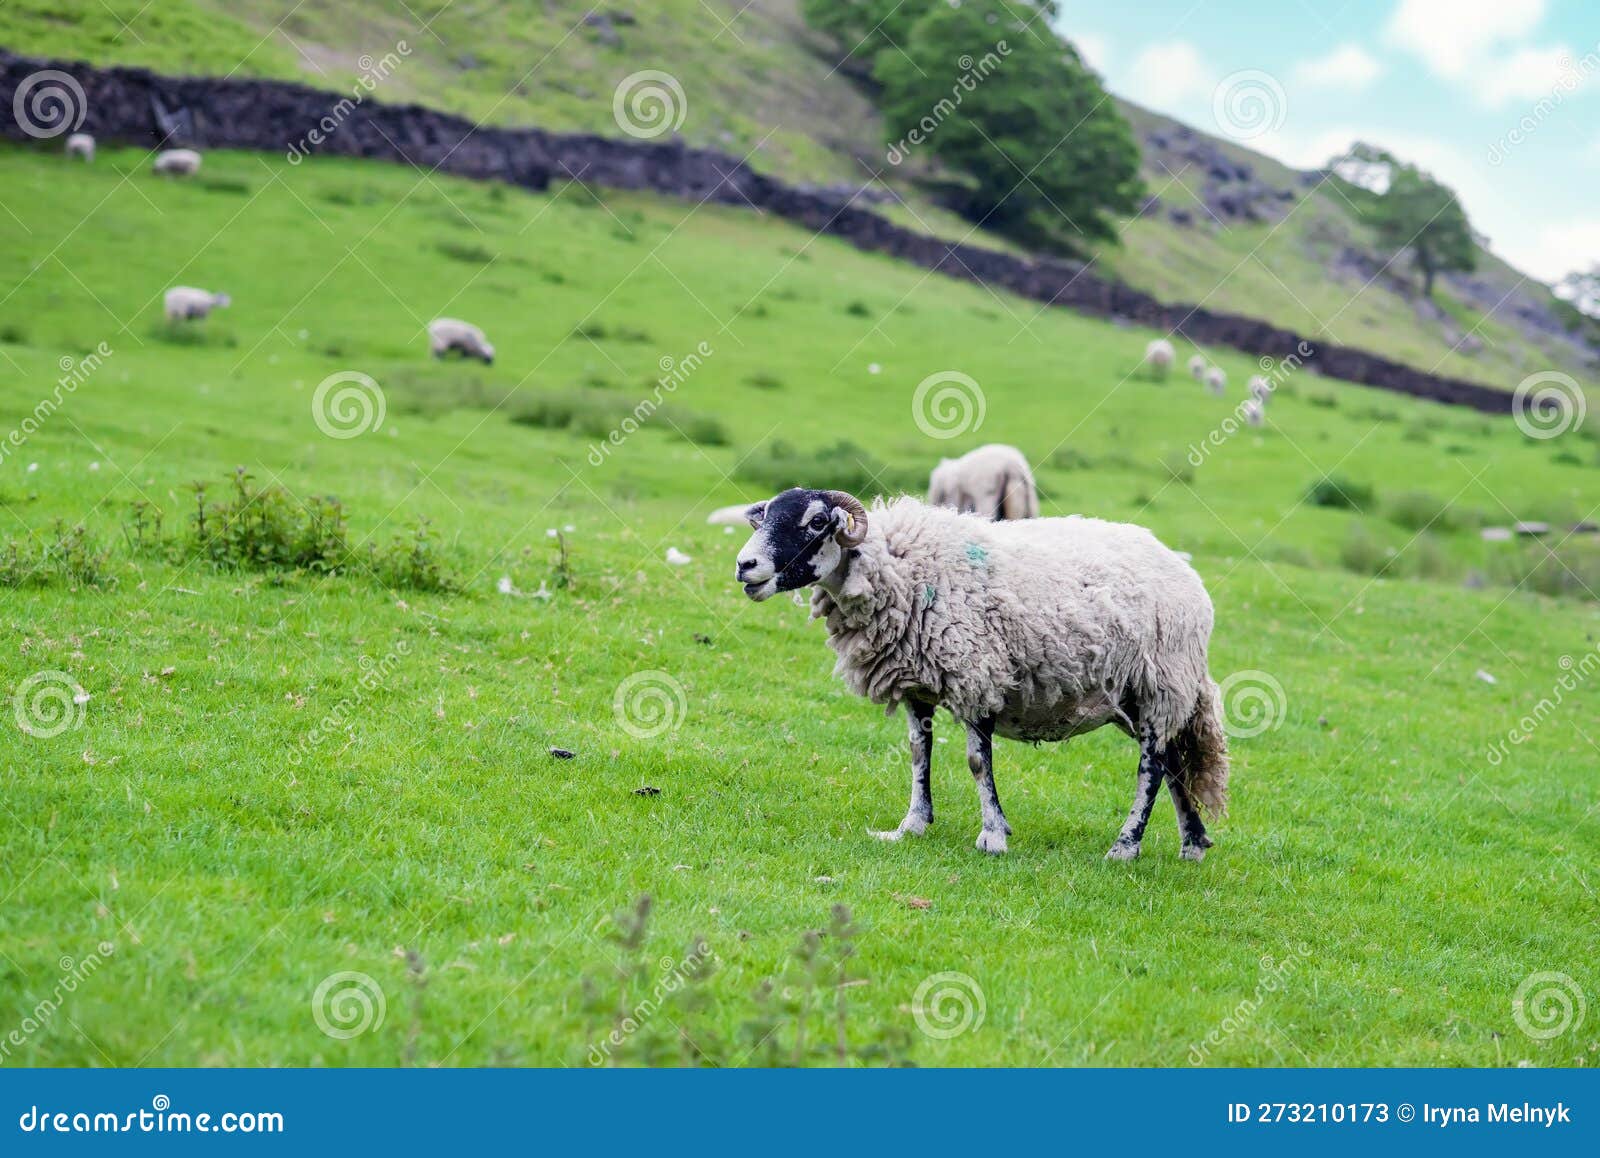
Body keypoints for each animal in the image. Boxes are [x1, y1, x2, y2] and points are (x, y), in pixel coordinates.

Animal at [735, 489, 1229, 860]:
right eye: (765, 517)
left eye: (817, 521)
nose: (744, 566)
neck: (902, 568)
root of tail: (1187, 575)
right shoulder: (916, 684)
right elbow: (918, 754)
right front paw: (911, 825)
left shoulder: (977, 674)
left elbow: (977, 762)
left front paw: (993, 835)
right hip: (1136, 699)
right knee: (1173, 763)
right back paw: (1192, 842)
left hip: (1158, 684)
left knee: (1152, 767)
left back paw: (1125, 846)